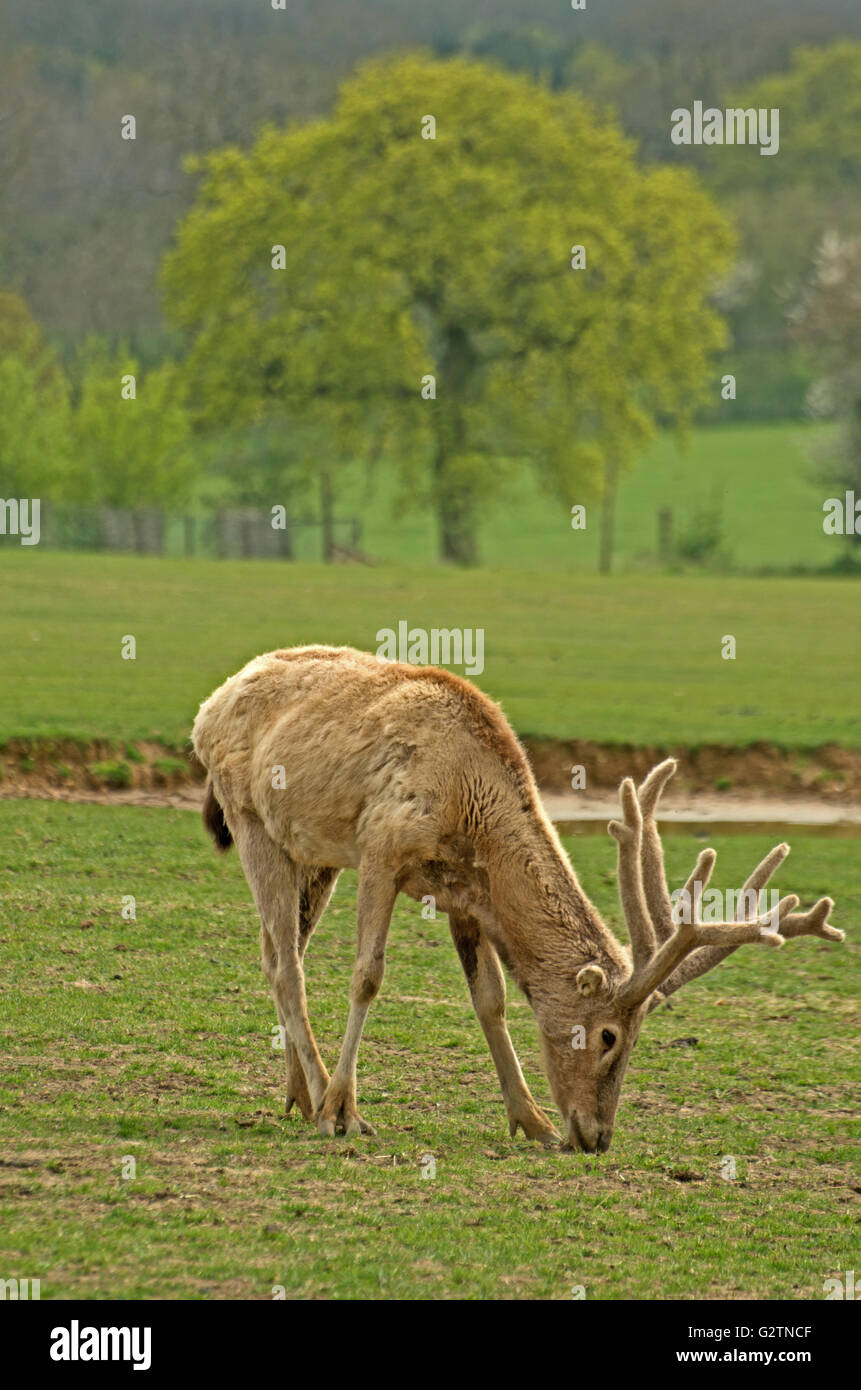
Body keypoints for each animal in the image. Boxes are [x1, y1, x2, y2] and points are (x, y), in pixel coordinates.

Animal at [192, 644, 843, 1153]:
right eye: (609, 1035)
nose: (597, 1136)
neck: (470, 807)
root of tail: (207, 709)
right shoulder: (382, 847)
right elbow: (367, 976)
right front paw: (344, 1114)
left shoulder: (463, 896)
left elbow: (492, 999)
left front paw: (533, 1122)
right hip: (249, 817)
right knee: (287, 962)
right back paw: (319, 1097)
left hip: (312, 852)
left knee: (277, 950)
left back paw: (299, 1094)